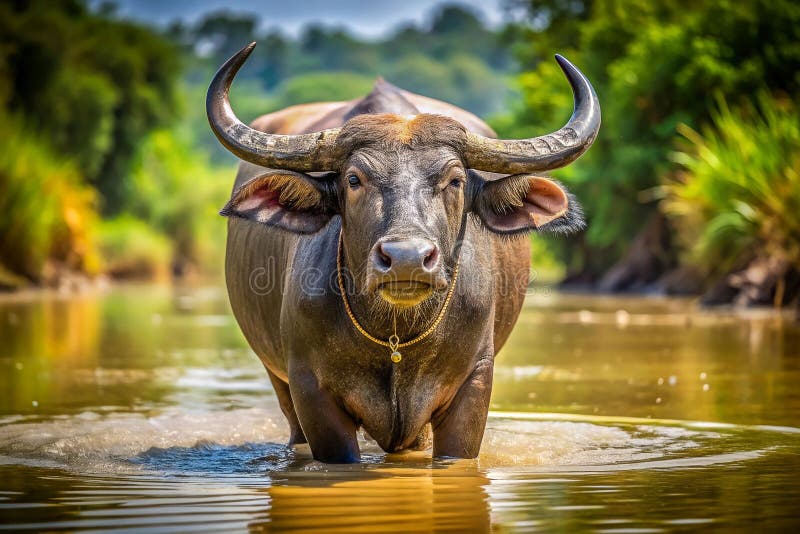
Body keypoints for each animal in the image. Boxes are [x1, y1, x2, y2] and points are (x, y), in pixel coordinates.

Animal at [207, 42, 600, 463]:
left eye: (455, 180)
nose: (406, 259)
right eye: (354, 179)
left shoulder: (474, 385)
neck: (395, 333)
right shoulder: (310, 390)